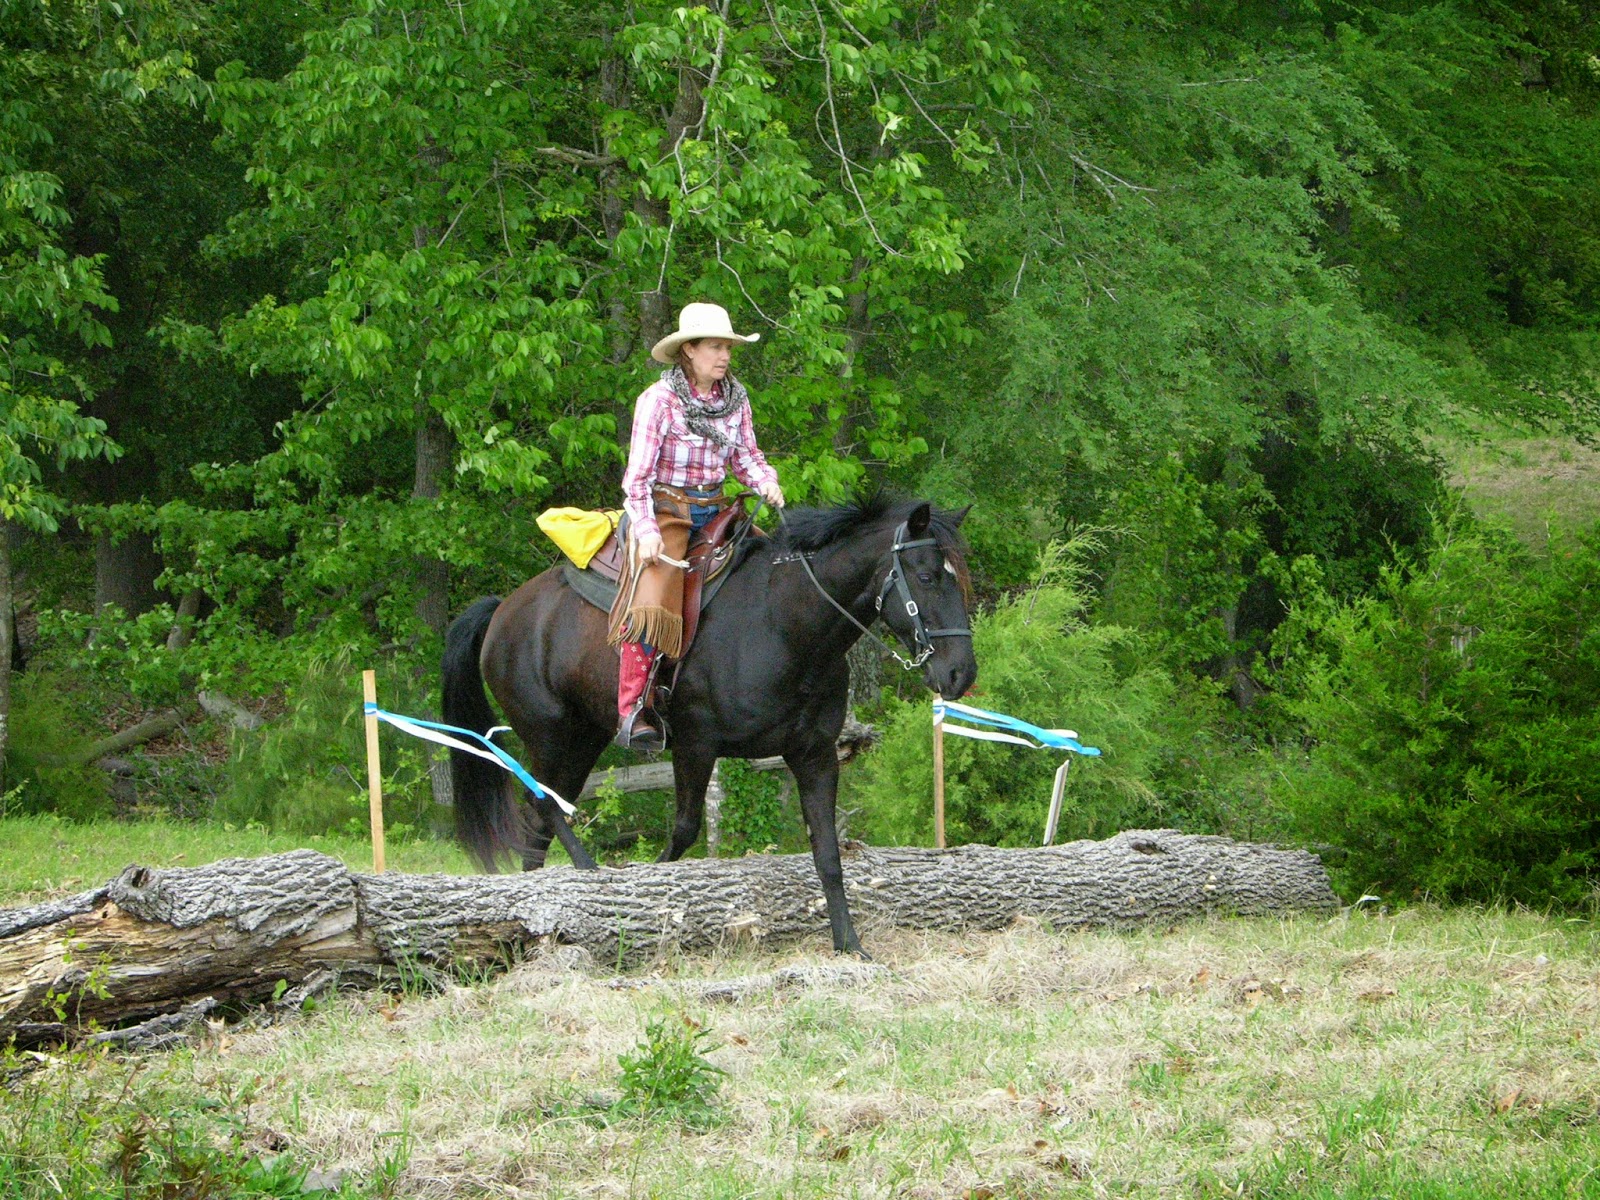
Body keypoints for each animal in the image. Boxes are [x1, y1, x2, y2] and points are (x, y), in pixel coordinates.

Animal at [440, 494, 979, 956]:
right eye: (927, 576)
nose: (961, 673)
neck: (783, 625)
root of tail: (502, 611)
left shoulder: (814, 754)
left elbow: (827, 853)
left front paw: (849, 944)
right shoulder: (694, 747)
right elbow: (683, 833)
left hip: (584, 739)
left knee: (539, 820)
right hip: (551, 735)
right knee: (543, 804)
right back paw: (588, 870)